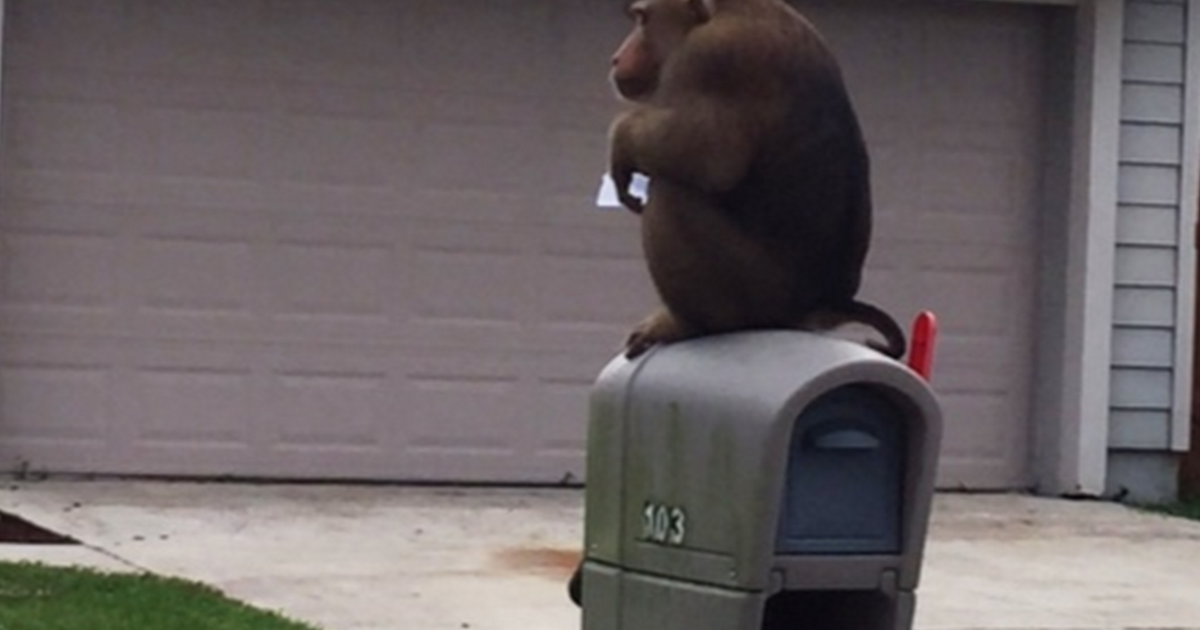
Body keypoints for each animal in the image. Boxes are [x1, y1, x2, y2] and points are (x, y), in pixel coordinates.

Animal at [607, 0, 906, 360]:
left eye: (642, 18)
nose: (617, 57)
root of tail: (827, 305)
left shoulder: (711, 56)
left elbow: (708, 155)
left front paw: (622, 141)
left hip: (758, 299)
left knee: (672, 193)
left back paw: (687, 324)